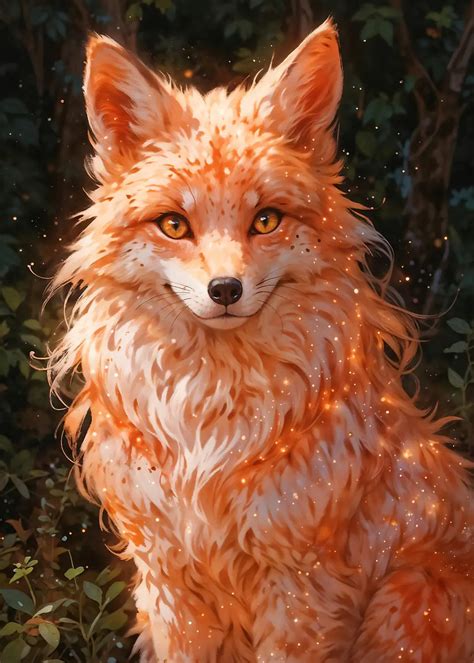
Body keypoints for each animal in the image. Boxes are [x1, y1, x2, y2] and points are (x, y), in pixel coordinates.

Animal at [47, 18, 473, 663]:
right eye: (174, 225)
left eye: (266, 220)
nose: (225, 289)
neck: (209, 425)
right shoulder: (170, 581)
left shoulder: (301, 585)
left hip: (406, 600)